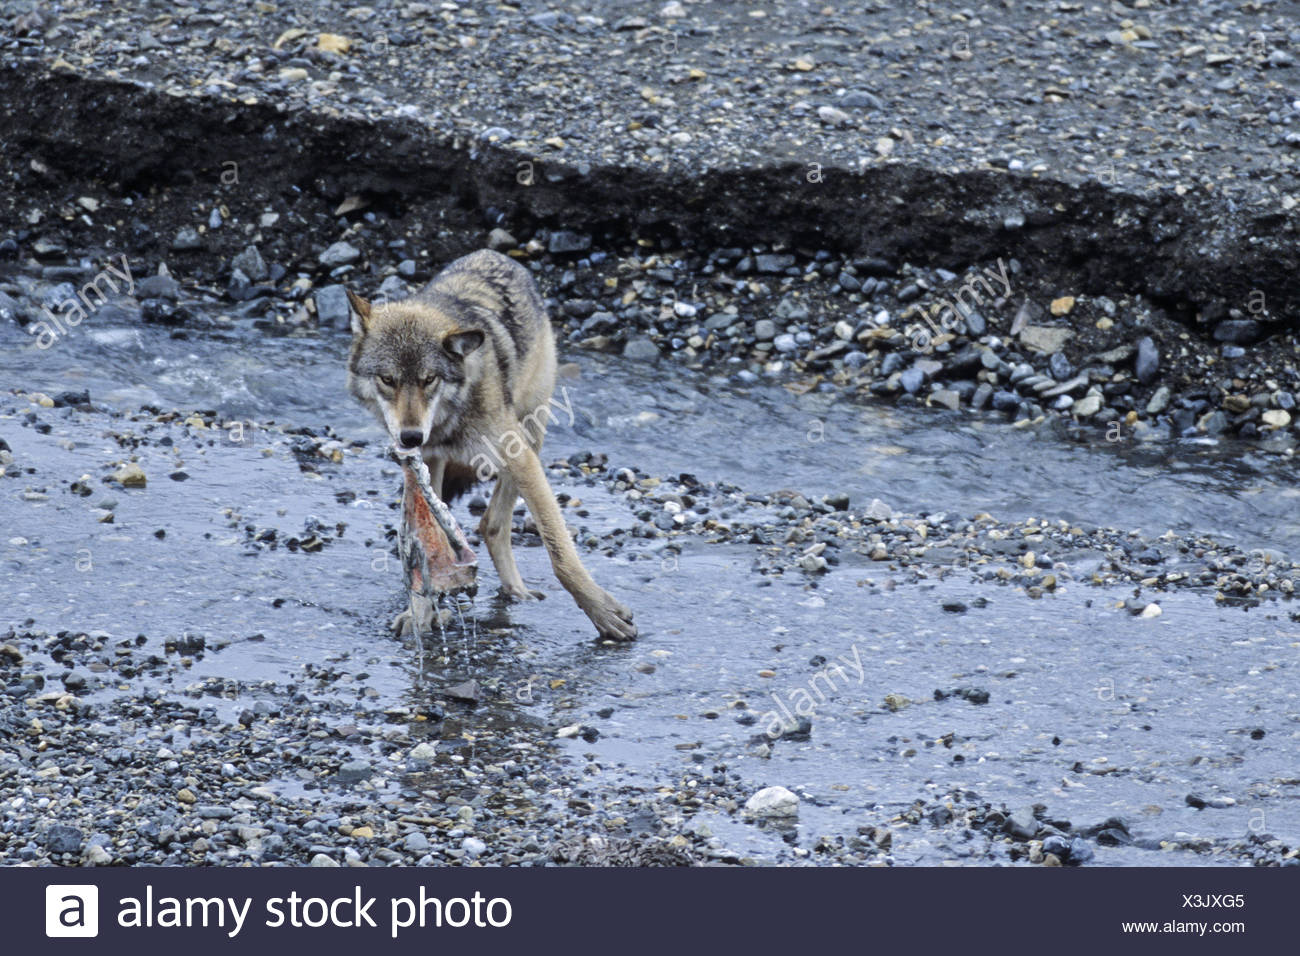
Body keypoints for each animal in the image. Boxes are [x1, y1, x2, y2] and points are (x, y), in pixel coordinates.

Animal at [346, 249, 637, 641]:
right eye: (387, 380)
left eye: (429, 379)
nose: (411, 437)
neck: (451, 419)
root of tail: (495, 254)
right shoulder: (425, 462)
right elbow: (424, 541)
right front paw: (418, 613)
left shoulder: (520, 457)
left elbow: (561, 553)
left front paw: (602, 611)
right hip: (444, 463)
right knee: (478, 525)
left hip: (529, 434)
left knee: (493, 523)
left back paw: (516, 590)